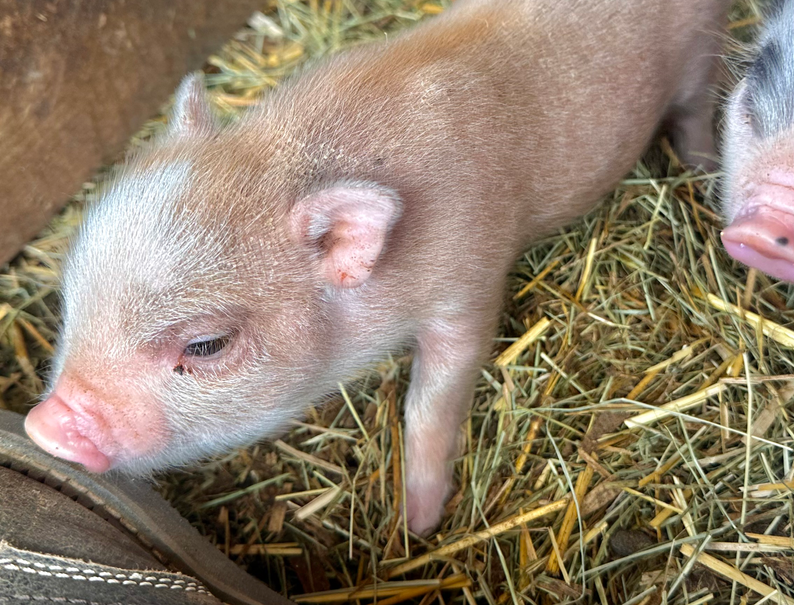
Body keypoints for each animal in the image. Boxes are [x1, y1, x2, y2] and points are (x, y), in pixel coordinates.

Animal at [24, 0, 726, 536]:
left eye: (206, 345)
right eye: (70, 297)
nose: (44, 426)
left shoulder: (469, 282)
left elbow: (432, 402)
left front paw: (418, 526)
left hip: (701, 56)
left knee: (699, 110)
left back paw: (702, 175)